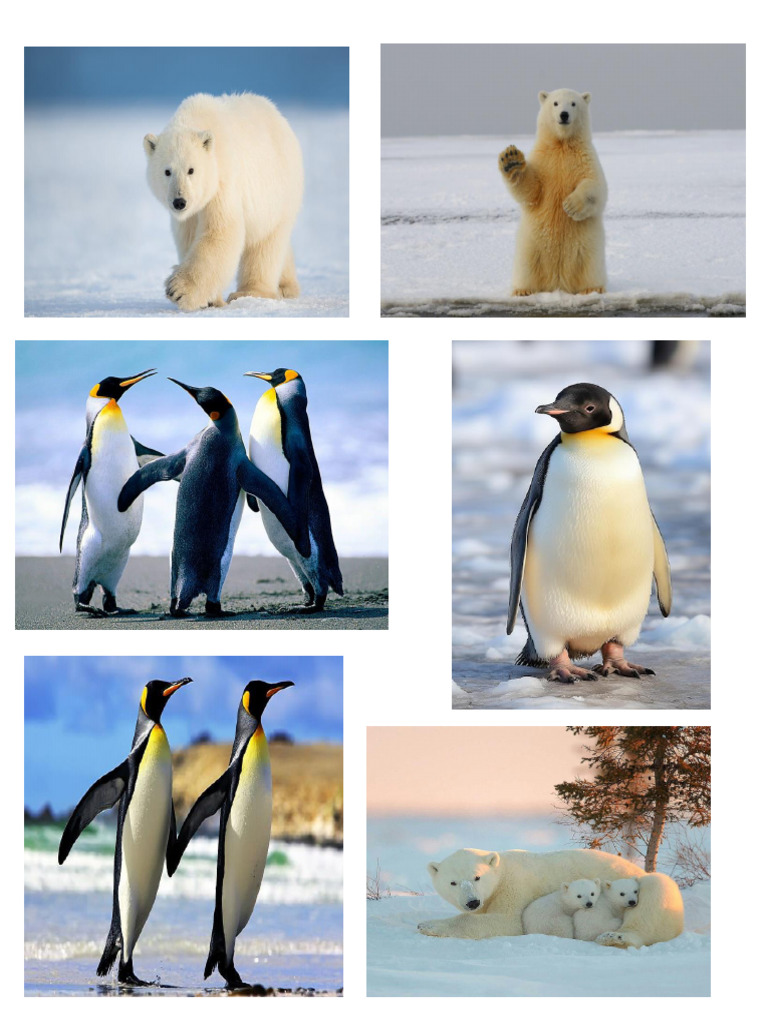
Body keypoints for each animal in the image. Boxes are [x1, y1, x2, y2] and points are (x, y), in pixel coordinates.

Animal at [144, 93, 303, 311]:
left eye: (191, 170)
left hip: (278, 191)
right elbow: (189, 238)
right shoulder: (190, 214)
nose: (179, 201)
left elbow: (220, 232)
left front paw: (178, 290)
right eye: (167, 171)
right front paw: (210, 300)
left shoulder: (223, 181)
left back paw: (251, 291)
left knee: (265, 243)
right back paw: (286, 286)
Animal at [418, 848, 644, 939]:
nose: (472, 902)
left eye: (477, 877)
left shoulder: (515, 887)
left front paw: (428, 925)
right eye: (453, 882)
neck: (502, 871)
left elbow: (508, 922)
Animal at [498, 88, 607, 296]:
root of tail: (558, 282)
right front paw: (511, 160)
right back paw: (523, 290)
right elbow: (532, 190)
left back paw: (592, 288)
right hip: (531, 245)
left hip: (589, 247)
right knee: (526, 266)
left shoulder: (585, 159)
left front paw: (571, 205)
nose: (564, 115)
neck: (562, 144)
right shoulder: (543, 161)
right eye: (555, 103)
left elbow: (595, 186)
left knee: (590, 265)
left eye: (573, 103)